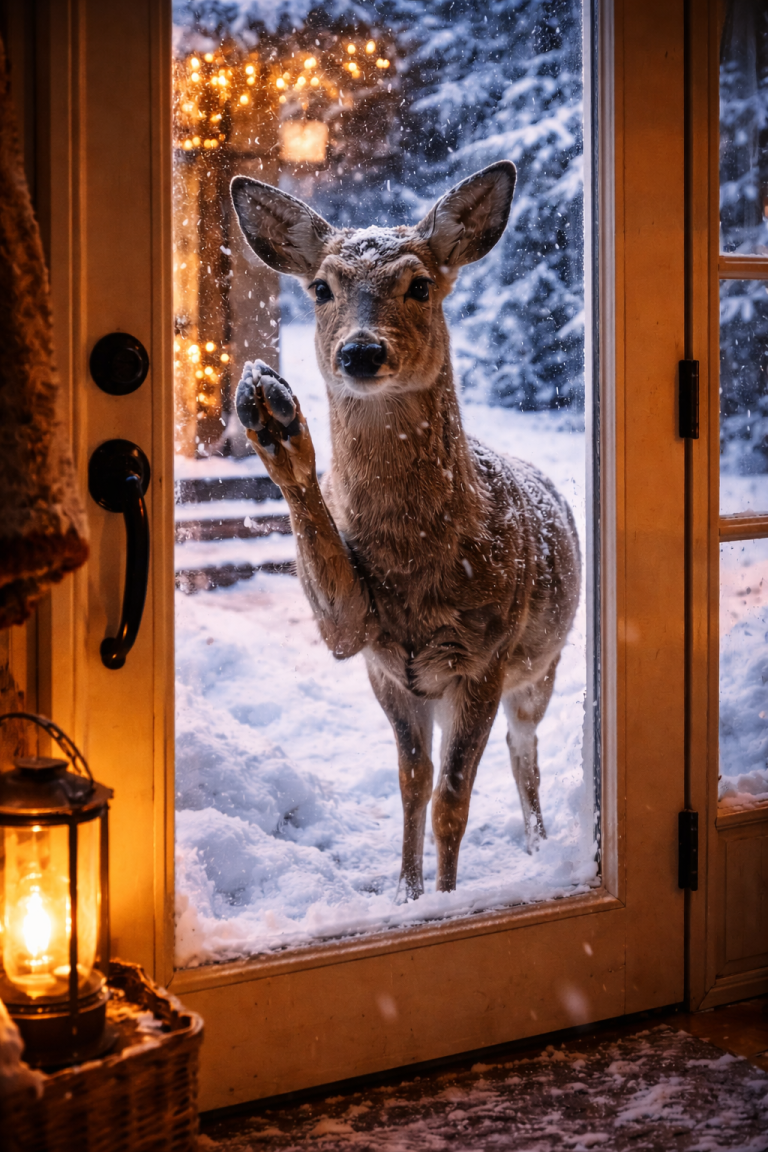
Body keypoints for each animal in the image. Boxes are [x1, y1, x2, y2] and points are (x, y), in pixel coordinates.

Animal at [229, 161, 581, 900]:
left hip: (542, 663)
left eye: (419, 285)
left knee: (525, 750)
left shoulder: (484, 654)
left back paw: (538, 844)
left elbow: (453, 799)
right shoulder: (373, 654)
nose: (361, 352)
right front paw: (406, 892)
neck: (421, 566)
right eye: (321, 287)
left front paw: (443, 899)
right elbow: (412, 786)